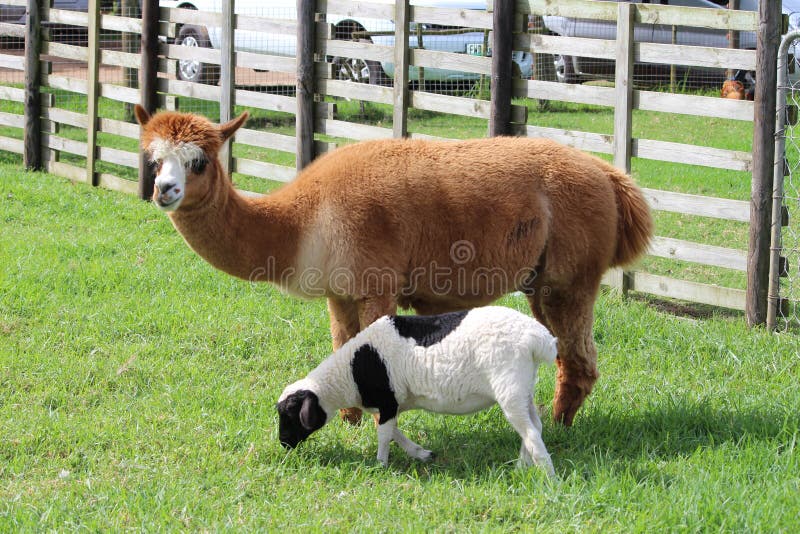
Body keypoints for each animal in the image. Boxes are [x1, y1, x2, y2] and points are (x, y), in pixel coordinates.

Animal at [277, 306, 558, 476]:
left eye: (290, 414)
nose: (283, 443)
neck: (348, 373)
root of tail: (539, 338)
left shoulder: (387, 401)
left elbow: (384, 435)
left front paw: (380, 465)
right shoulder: (391, 406)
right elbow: (394, 433)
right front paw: (421, 454)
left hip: (510, 388)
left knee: (531, 432)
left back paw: (548, 477)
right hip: (523, 388)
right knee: (535, 426)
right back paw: (522, 467)